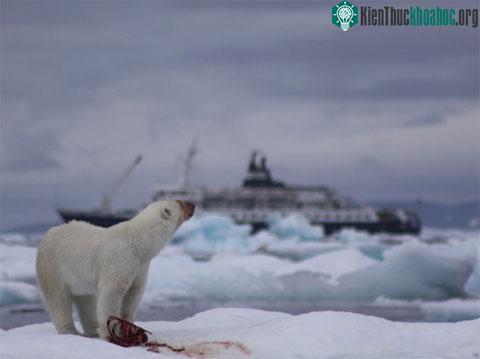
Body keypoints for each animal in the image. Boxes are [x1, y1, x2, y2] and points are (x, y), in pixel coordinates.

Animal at [35, 200, 194, 340]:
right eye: (180, 203)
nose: (193, 205)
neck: (138, 243)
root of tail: (48, 234)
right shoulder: (119, 259)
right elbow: (111, 292)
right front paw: (112, 334)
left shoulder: (140, 267)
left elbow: (133, 294)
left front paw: (129, 329)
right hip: (52, 266)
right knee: (57, 298)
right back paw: (70, 331)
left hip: (79, 277)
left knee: (86, 299)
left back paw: (93, 329)